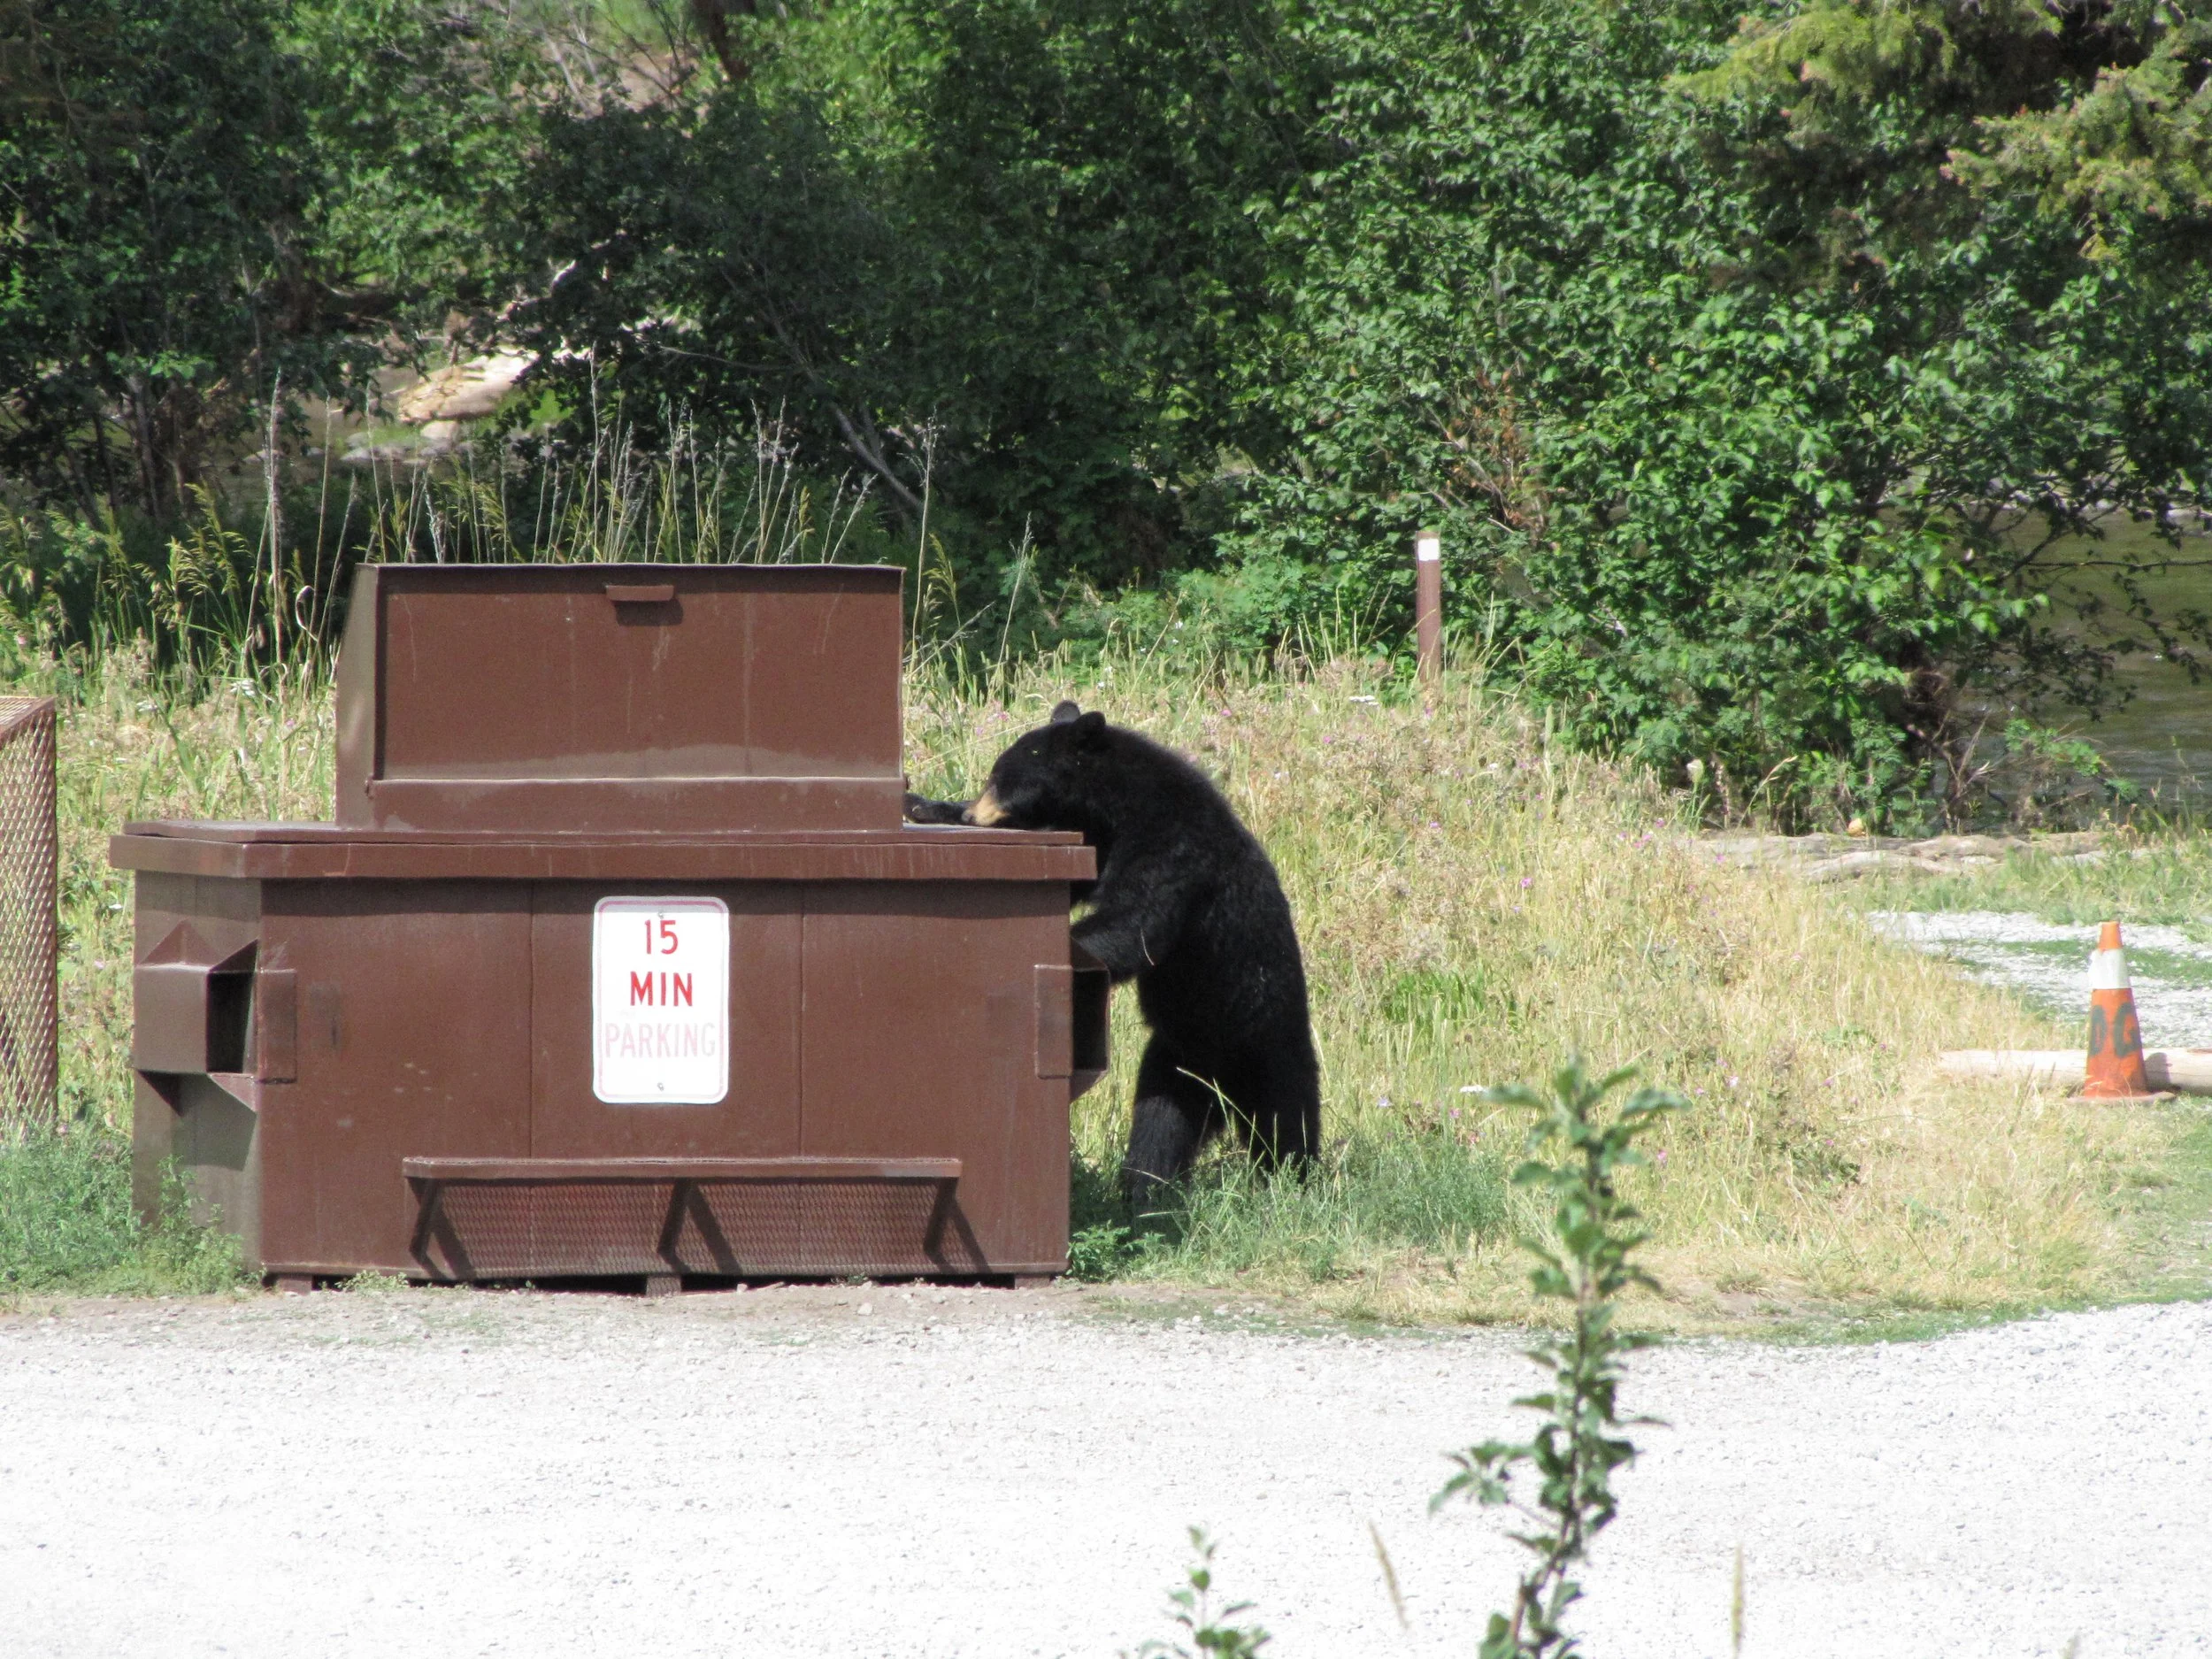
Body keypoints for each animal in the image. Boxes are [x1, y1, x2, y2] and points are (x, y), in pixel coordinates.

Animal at [905, 701, 1321, 1203]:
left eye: (1001, 778)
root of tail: (1220, 1086)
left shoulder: (1175, 850)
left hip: (1265, 1042)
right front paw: (922, 804)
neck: (1121, 805)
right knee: (1161, 1124)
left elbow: (1136, 923)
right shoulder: (1097, 840)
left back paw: (1292, 1181)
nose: (971, 816)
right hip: (1175, 1060)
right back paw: (1146, 1191)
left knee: (1285, 1118)